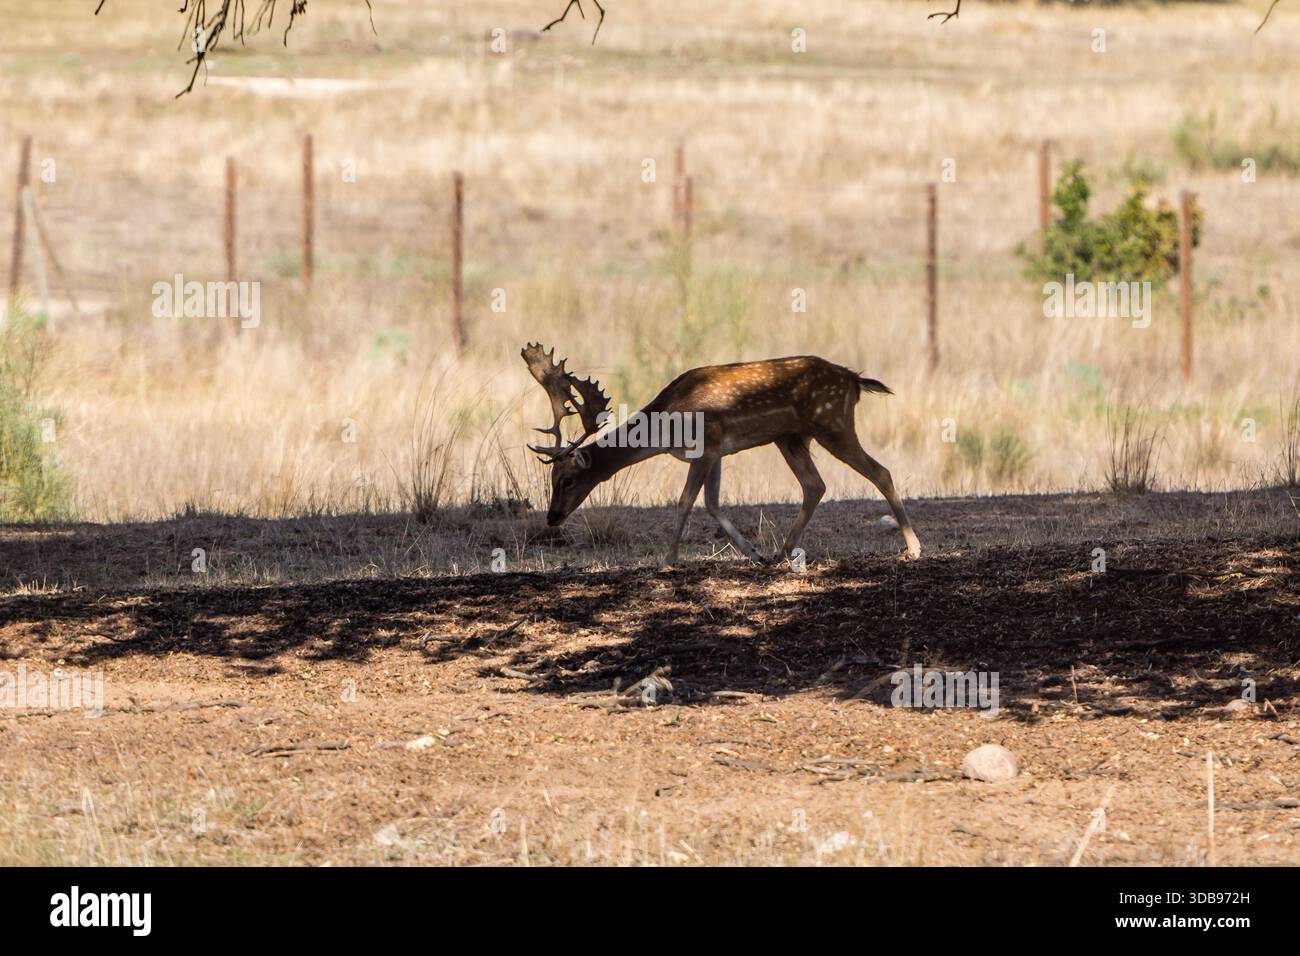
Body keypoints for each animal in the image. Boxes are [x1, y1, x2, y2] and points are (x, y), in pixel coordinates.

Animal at [521, 343, 922, 566]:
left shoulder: (706, 444)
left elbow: (686, 501)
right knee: (815, 485)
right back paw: (781, 553)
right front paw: (754, 555)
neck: (665, 426)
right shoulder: (716, 453)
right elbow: (712, 504)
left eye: (568, 479)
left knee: (880, 472)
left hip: (832, 423)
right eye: (551, 477)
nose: (552, 517)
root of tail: (855, 380)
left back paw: (914, 549)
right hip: (791, 437)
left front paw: (669, 559)